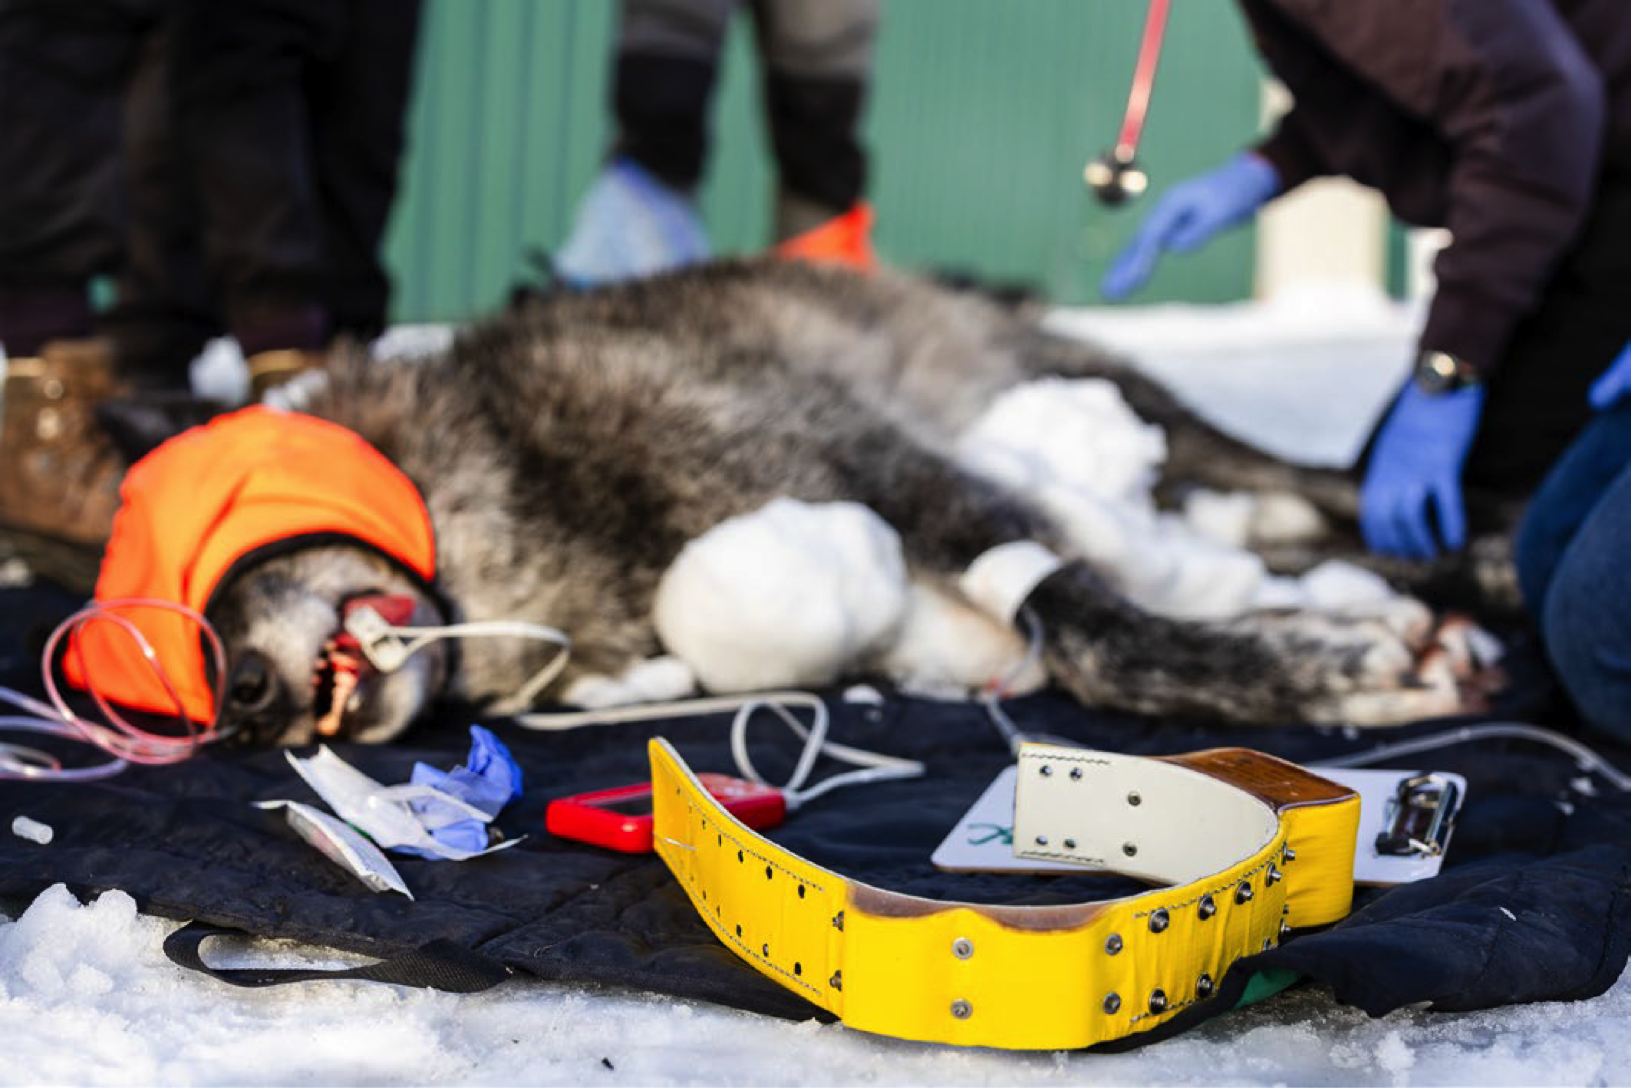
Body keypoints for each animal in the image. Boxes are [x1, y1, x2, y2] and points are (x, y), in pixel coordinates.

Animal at [197, 257, 1488, 746]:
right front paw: (1322, 643)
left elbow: (1096, 631)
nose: (242, 706)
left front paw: (1325, 668)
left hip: (1122, 396)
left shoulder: (865, 457)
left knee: (1325, 490)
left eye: (218, 585)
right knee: (1290, 530)